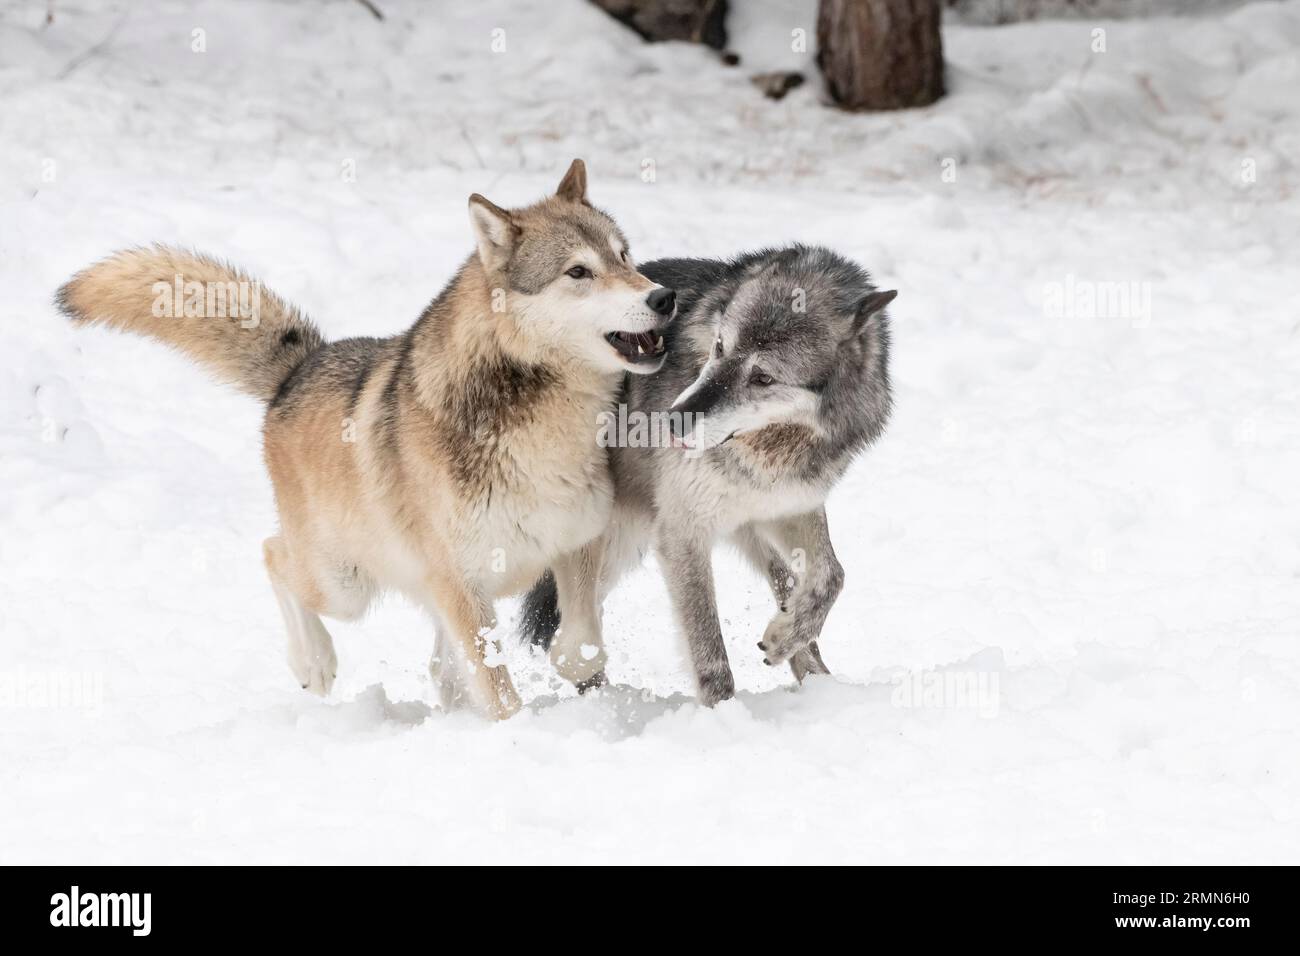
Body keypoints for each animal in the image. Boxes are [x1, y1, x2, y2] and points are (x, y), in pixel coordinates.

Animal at [56, 159, 677, 720]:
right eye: (578, 272)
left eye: (624, 257)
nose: (663, 297)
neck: (539, 422)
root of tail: (298, 368)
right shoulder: (463, 586)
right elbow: (500, 691)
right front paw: (517, 733)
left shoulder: (577, 543)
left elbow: (579, 647)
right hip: (343, 586)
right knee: (272, 554)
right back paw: (314, 664)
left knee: (438, 666)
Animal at [521, 245, 894, 705]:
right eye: (720, 347)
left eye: (763, 377)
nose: (671, 421)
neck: (769, 446)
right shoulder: (683, 531)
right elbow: (708, 650)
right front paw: (723, 713)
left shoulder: (788, 503)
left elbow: (832, 575)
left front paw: (787, 638)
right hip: (614, 542)